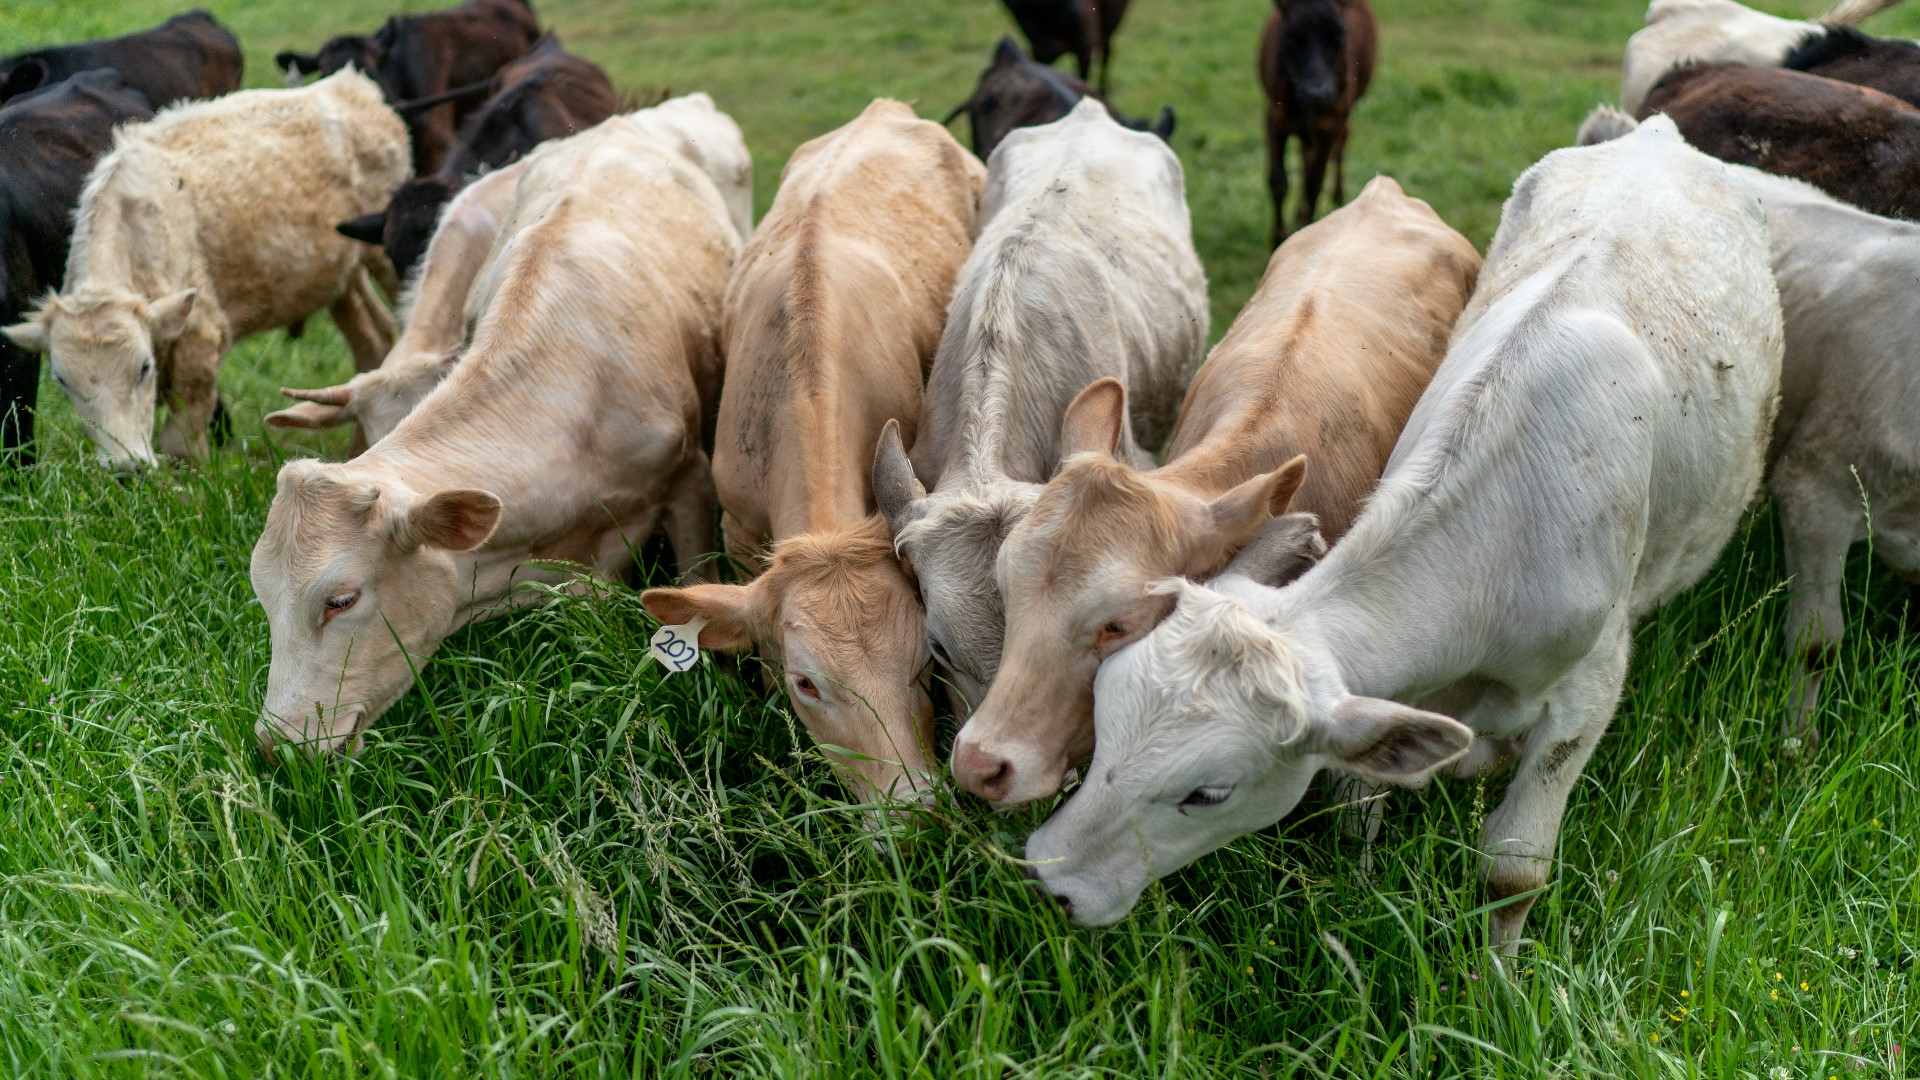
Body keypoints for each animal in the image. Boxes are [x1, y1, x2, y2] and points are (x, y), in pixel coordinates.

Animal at [1024, 116, 1783, 952]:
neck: (1498, 557)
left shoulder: (1587, 694)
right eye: (1103, 714)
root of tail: (1653, 134)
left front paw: (1498, 979)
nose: (1051, 880)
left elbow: (1513, 870)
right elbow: (1360, 814)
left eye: (1208, 792)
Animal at [1260, 0, 1377, 246]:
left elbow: (1315, 182)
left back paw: (1337, 199)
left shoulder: (1332, 123)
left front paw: (1305, 227)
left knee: (1337, 150)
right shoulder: (1274, 117)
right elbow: (1278, 181)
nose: (1316, 94)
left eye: (1339, 32)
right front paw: (1278, 237)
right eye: (1289, 35)